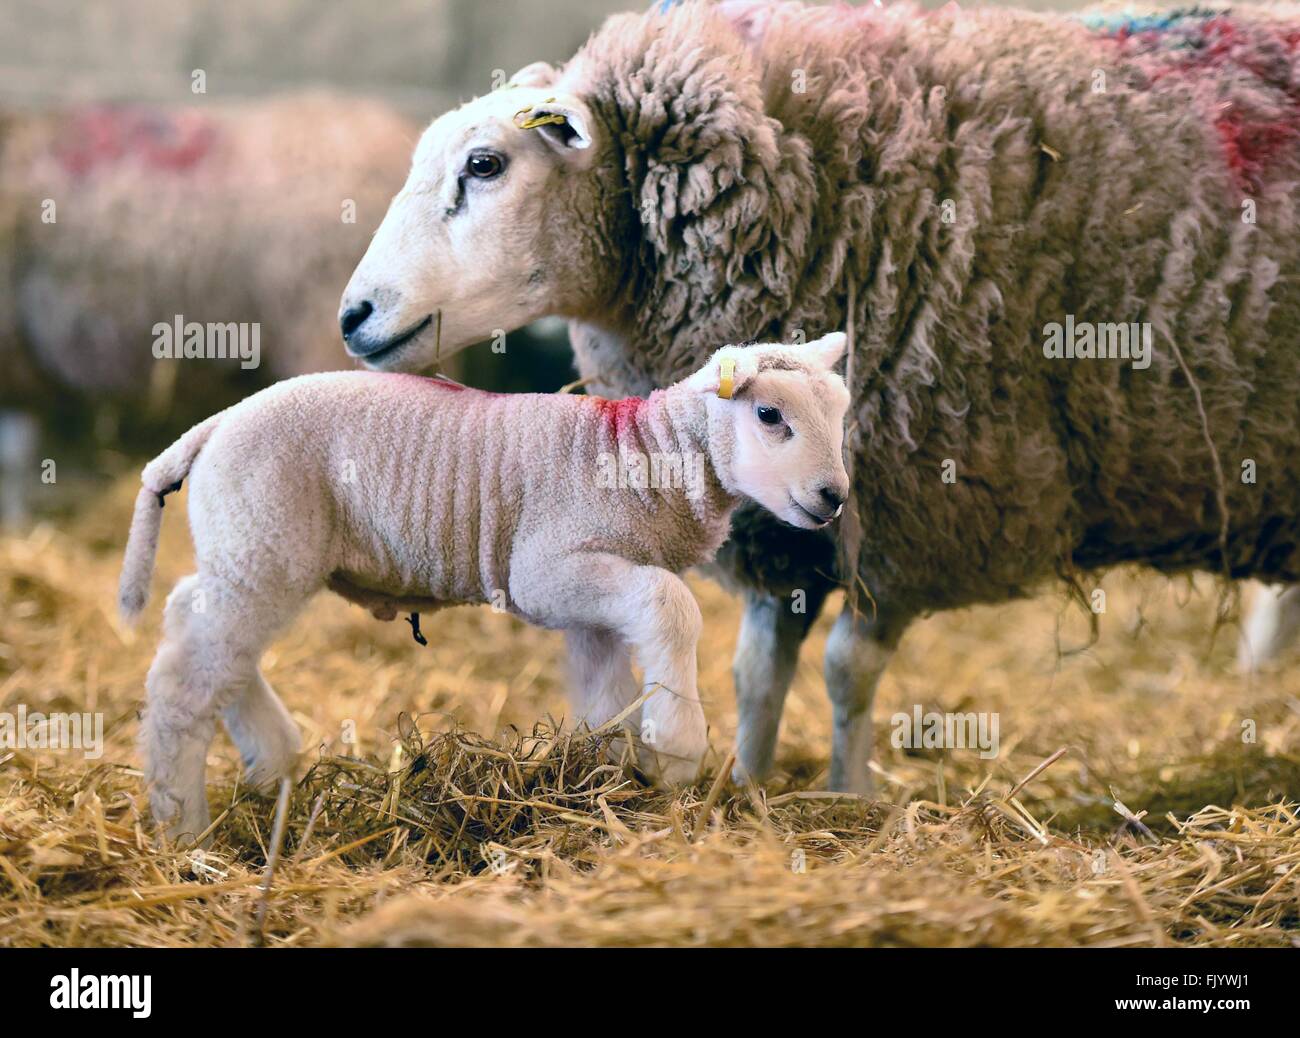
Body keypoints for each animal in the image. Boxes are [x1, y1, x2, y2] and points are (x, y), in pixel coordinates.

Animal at [117, 334, 850, 842]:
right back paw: (186, 828)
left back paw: (272, 762)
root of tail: (213, 427)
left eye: (842, 415)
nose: (834, 497)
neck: (645, 453)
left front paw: (605, 778)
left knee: (205, 635)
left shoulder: (590, 600)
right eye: (769, 414)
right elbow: (673, 605)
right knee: (186, 677)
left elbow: (603, 692)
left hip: (252, 552)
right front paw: (676, 745)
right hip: (262, 542)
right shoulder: (545, 569)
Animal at [338, 0, 1300, 793]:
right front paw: (746, 784)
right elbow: (758, 671)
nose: (353, 317)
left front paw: (849, 794)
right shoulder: (778, 530)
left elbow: (846, 669)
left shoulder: (920, 511)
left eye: (485, 165)